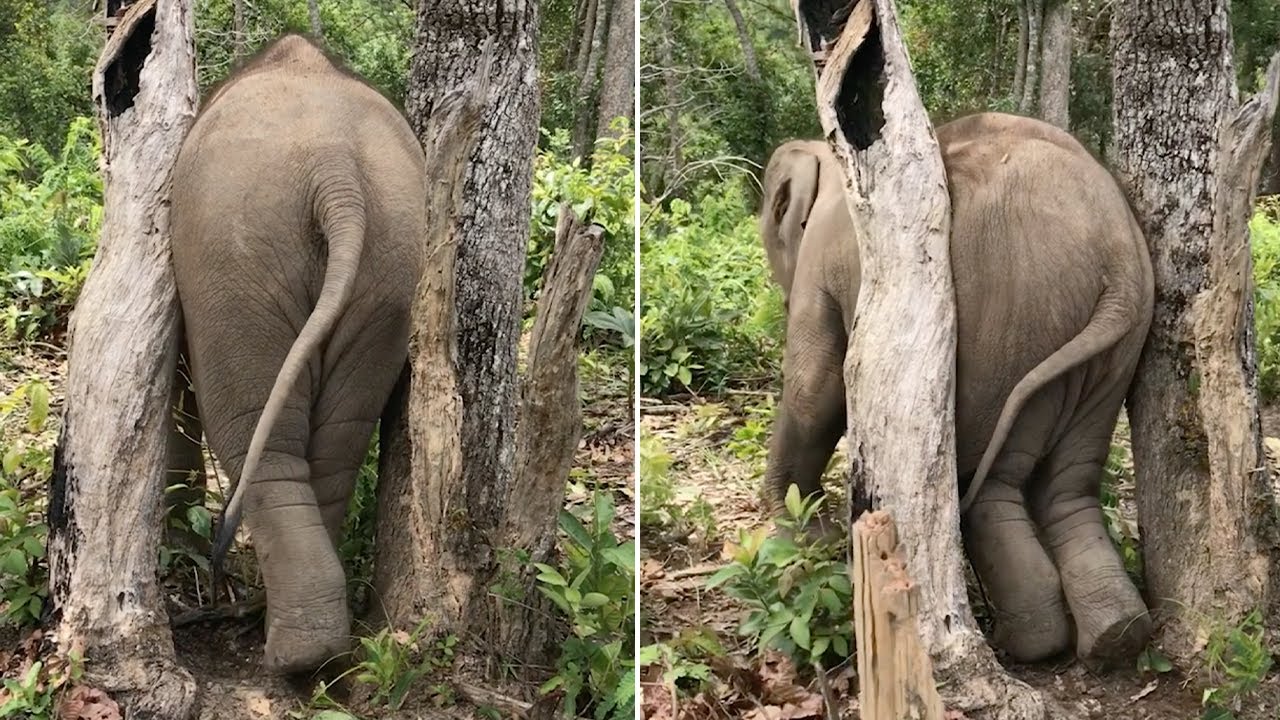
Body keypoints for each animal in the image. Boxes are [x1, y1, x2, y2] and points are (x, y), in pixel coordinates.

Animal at [168, 34, 426, 673]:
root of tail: (337, 175)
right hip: (394, 268)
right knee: (338, 445)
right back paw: (316, 647)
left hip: (235, 260)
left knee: (255, 435)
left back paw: (290, 656)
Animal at [758, 112, 1155, 665]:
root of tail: (1117, 261)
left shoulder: (820, 265)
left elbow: (814, 388)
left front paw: (798, 532)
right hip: (1114, 348)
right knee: (1068, 486)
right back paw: (1117, 635)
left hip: (1006, 328)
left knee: (988, 485)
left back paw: (1029, 644)